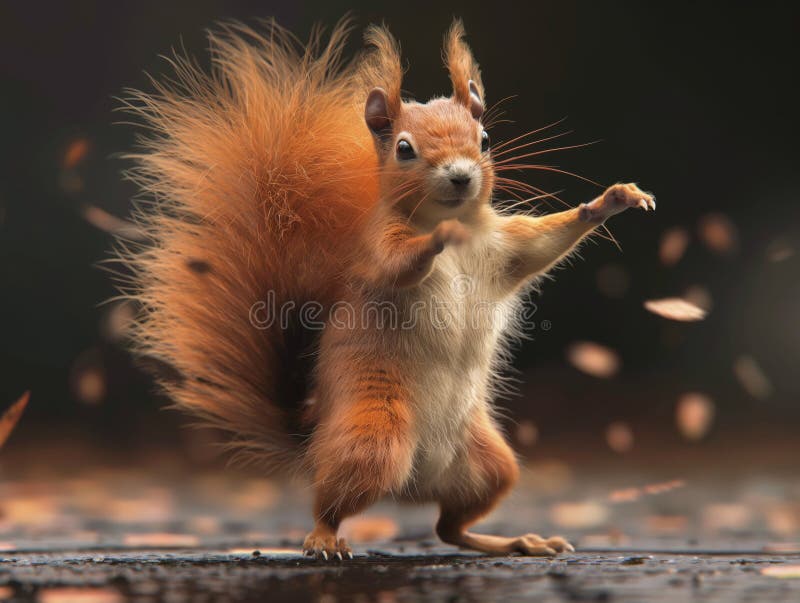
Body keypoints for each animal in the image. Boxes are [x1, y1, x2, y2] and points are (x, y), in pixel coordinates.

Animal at [117, 19, 656, 559]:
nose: (461, 176)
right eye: (404, 148)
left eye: (483, 139)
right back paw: (324, 537)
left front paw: (613, 200)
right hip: (373, 441)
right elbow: (401, 263)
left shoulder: (507, 248)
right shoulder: (377, 250)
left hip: (491, 464)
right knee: (334, 501)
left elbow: (544, 244)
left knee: (449, 527)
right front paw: (439, 238)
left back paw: (516, 541)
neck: (452, 223)